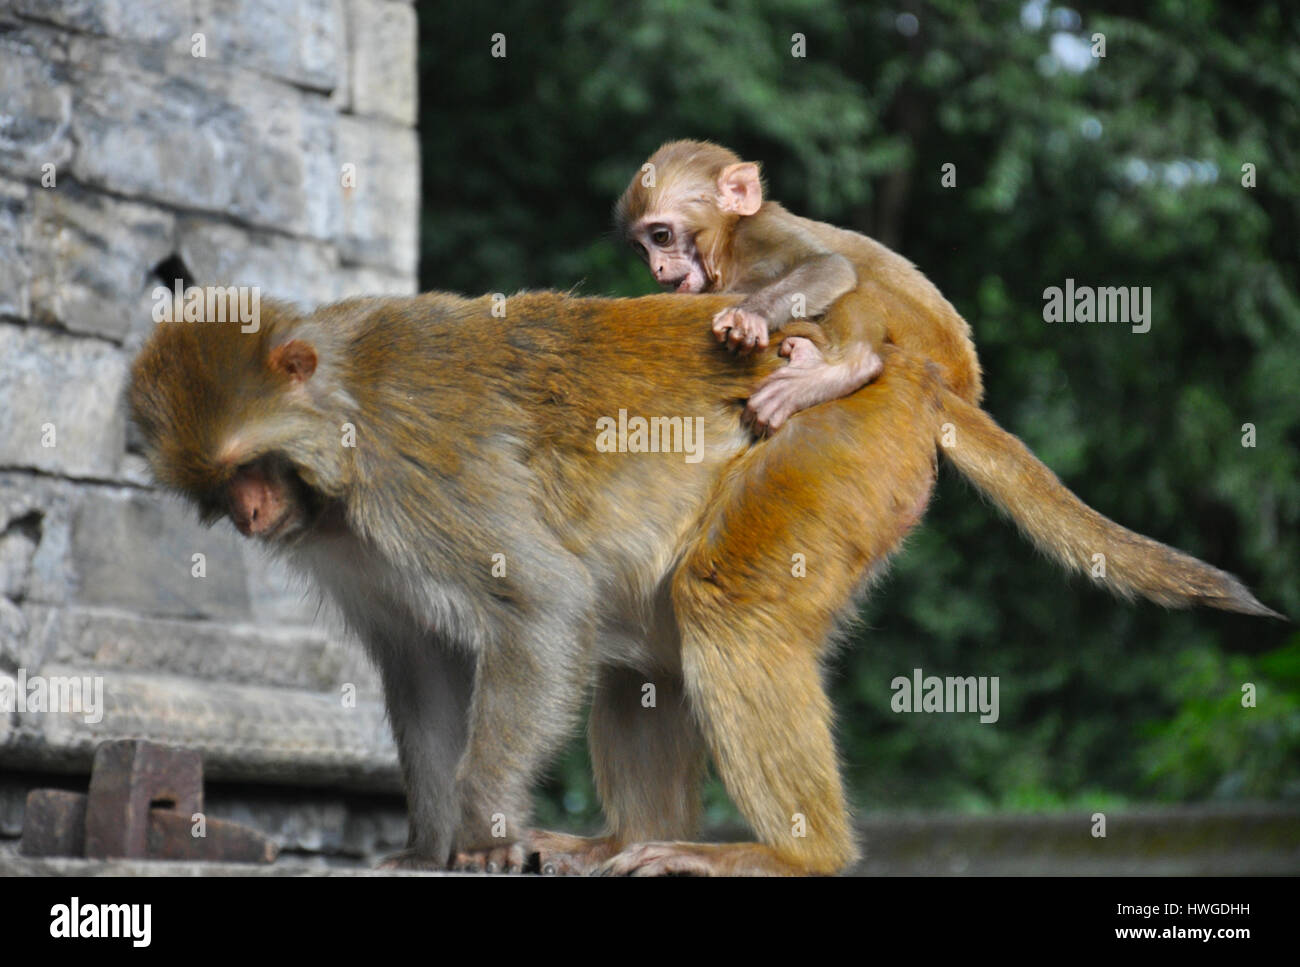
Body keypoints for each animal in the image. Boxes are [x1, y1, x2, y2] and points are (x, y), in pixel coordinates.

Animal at [129, 289, 1279, 876]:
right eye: (221, 488)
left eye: (248, 468)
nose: (253, 518)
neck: (340, 428)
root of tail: (906, 373)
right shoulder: (351, 544)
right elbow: (423, 666)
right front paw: (421, 847)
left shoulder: (420, 471)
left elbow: (538, 607)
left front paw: (482, 835)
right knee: (643, 648)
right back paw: (624, 839)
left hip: (829, 439)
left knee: (721, 606)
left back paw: (789, 854)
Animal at [616, 139, 984, 433]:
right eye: (641, 248)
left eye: (661, 236)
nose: (656, 268)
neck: (729, 252)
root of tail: (966, 382)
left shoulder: (761, 229)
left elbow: (830, 266)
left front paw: (748, 317)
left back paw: (848, 368)